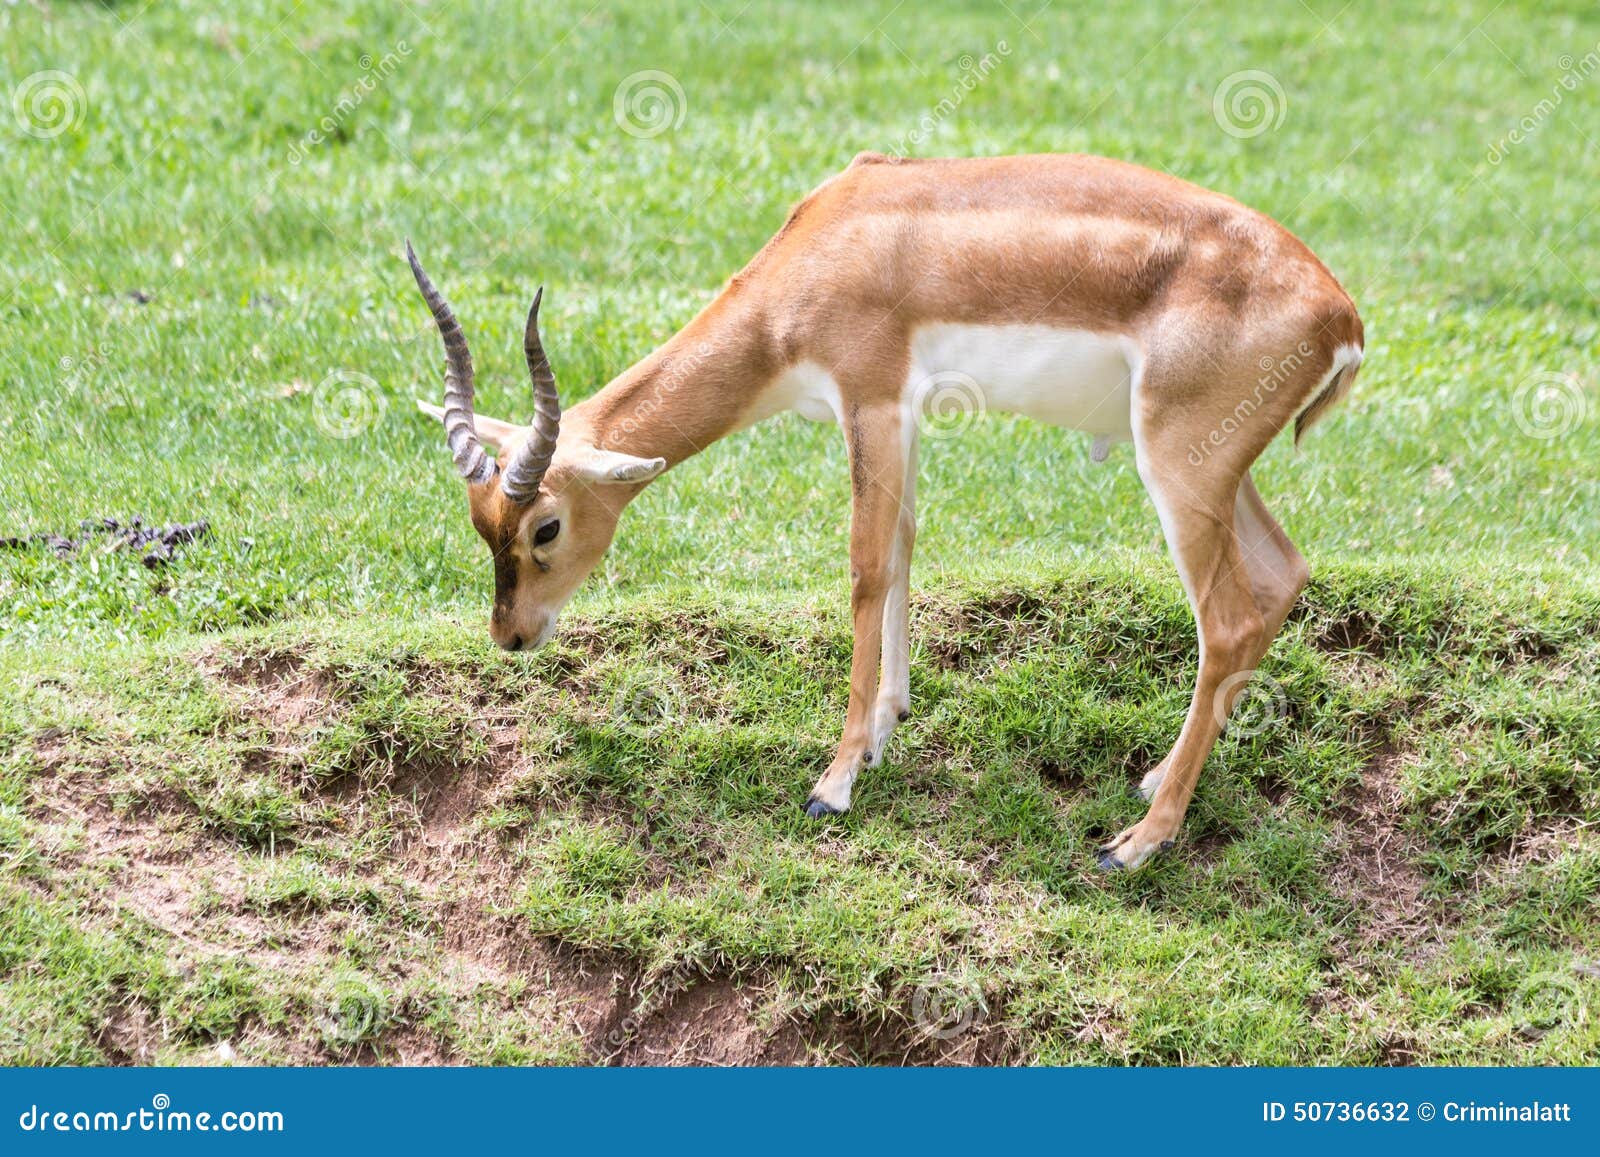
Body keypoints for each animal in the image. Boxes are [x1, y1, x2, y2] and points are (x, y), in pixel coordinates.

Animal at [405, 152, 1363, 870]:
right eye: (480, 524)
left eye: (546, 526)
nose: (511, 636)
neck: (824, 247)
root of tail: (1341, 314)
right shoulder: (901, 419)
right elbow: (903, 545)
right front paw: (882, 731)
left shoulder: (869, 400)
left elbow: (866, 569)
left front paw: (833, 783)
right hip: (1215, 471)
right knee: (1282, 578)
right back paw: (1153, 783)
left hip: (1179, 467)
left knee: (1228, 619)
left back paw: (1138, 842)